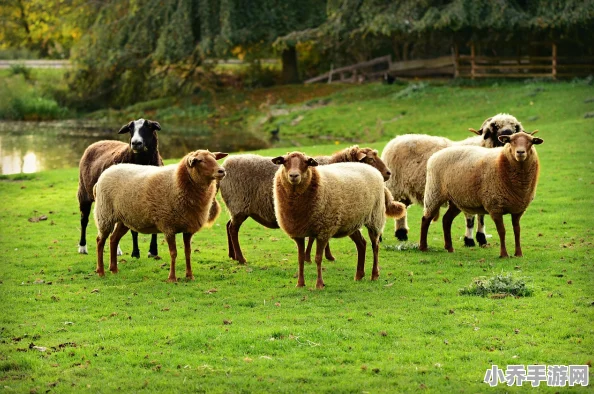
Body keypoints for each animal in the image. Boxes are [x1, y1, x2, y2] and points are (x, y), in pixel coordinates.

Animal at [78, 118, 164, 258]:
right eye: (130, 129)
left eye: (149, 127)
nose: (135, 143)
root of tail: (98, 142)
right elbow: (133, 230)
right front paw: (135, 253)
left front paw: (153, 251)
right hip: (84, 193)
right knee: (84, 220)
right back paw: (82, 247)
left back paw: (116, 250)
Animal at [92, 149, 227, 282]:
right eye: (200, 161)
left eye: (214, 158)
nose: (222, 171)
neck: (178, 181)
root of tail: (103, 175)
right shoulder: (168, 226)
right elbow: (173, 253)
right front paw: (172, 278)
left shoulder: (188, 228)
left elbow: (188, 252)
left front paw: (189, 276)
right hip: (104, 214)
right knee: (100, 241)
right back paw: (101, 271)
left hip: (124, 218)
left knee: (113, 239)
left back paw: (114, 269)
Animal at [220, 145, 390, 264]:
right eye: (370, 159)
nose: (388, 173)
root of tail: (225, 165)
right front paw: (320, 256)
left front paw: (320, 256)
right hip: (239, 205)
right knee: (233, 229)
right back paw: (241, 258)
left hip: (236, 208)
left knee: (228, 226)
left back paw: (232, 255)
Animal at [272, 152, 402, 288]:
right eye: (284, 162)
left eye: (306, 162)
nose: (294, 175)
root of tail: (372, 169)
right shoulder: (298, 233)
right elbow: (300, 258)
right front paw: (300, 283)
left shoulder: (324, 230)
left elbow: (318, 258)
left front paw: (319, 284)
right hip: (352, 222)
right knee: (361, 244)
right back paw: (359, 275)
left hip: (375, 217)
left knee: (375, 246)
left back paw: (374, 275)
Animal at [380, 112, 524, 245]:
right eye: (495, 126)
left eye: (515, 128)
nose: (506, 135)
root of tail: (395, 139)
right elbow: (470, 218)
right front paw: (469, 240)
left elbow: (481, 216)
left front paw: (481, 238)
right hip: (393, 187)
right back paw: (382, 237)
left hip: (405, 191)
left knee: (402, 209)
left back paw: (401, 234)